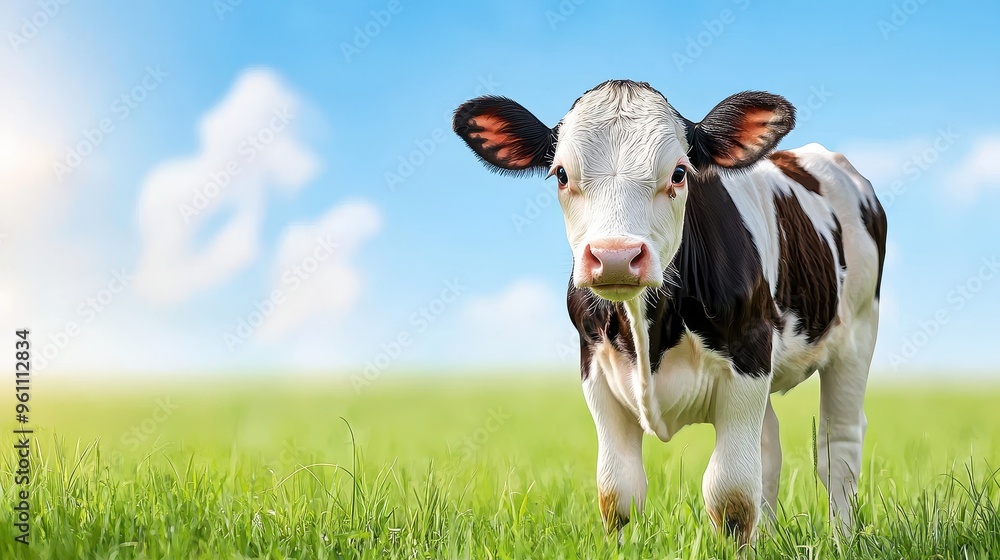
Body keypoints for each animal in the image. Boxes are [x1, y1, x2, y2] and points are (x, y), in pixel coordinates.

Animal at [451, 80, 887, 544]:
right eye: (561, 174)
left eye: (679, 173)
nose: (616, 256)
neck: (651, 336)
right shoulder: (594, 368)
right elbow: (617, 492)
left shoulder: (748, 355)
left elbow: (730, 493)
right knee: (768, 446)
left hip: (858, 334)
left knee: (837, 445)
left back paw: (842, 539)